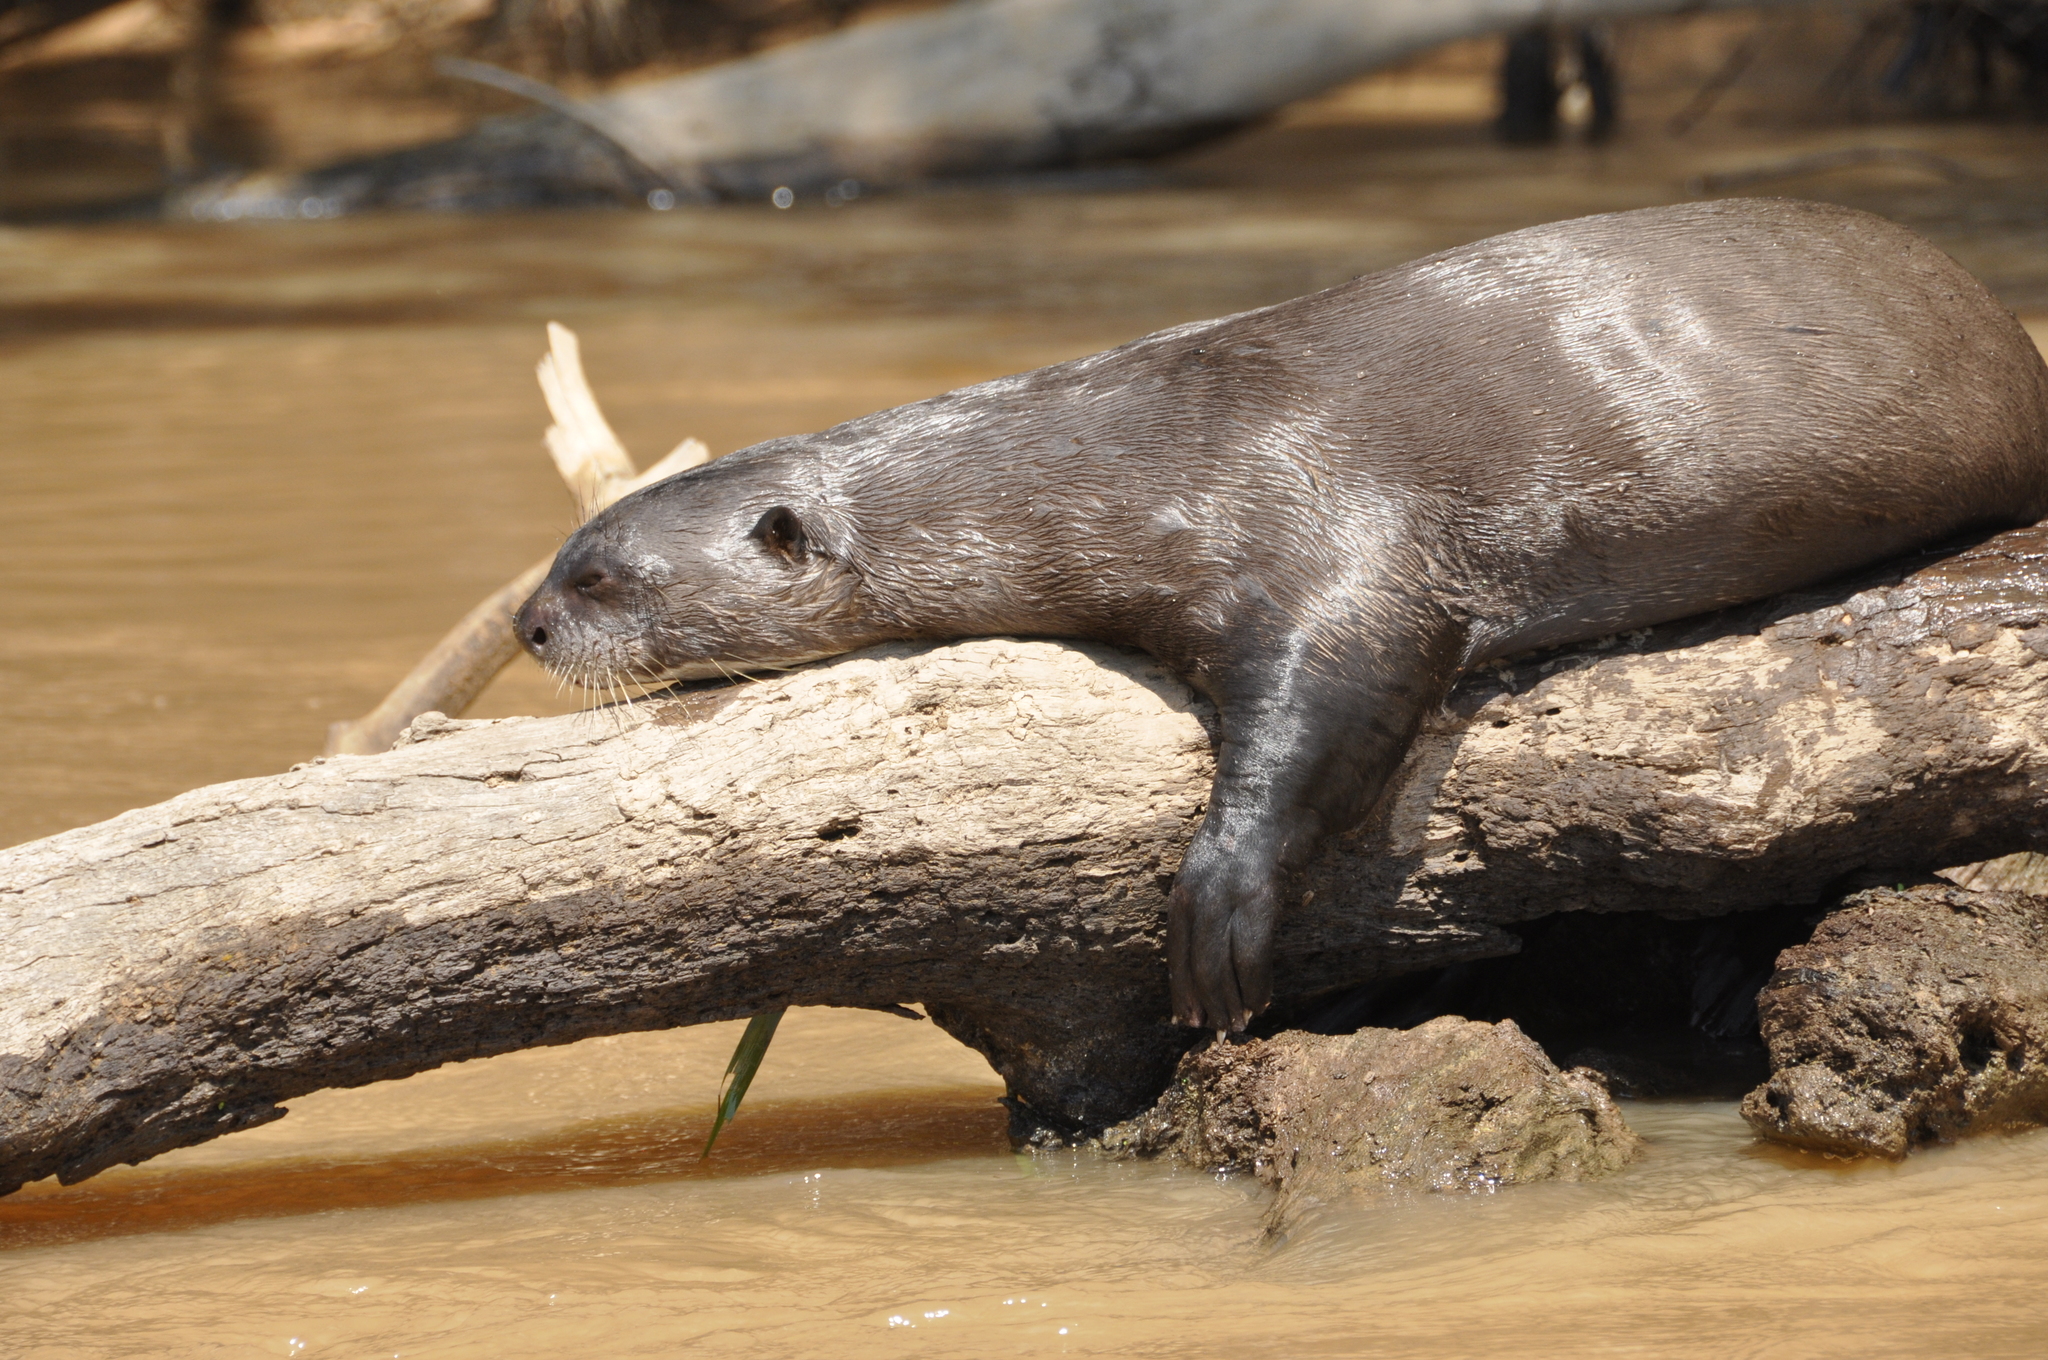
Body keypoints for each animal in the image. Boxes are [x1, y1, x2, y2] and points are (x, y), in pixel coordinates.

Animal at [515, 198, 2048, 1033]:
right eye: (566, 552)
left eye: (600, 574)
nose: (528, 627)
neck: (1129, 468)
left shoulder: (1328, 535)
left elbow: (1340, 696)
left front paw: (1218, 916)